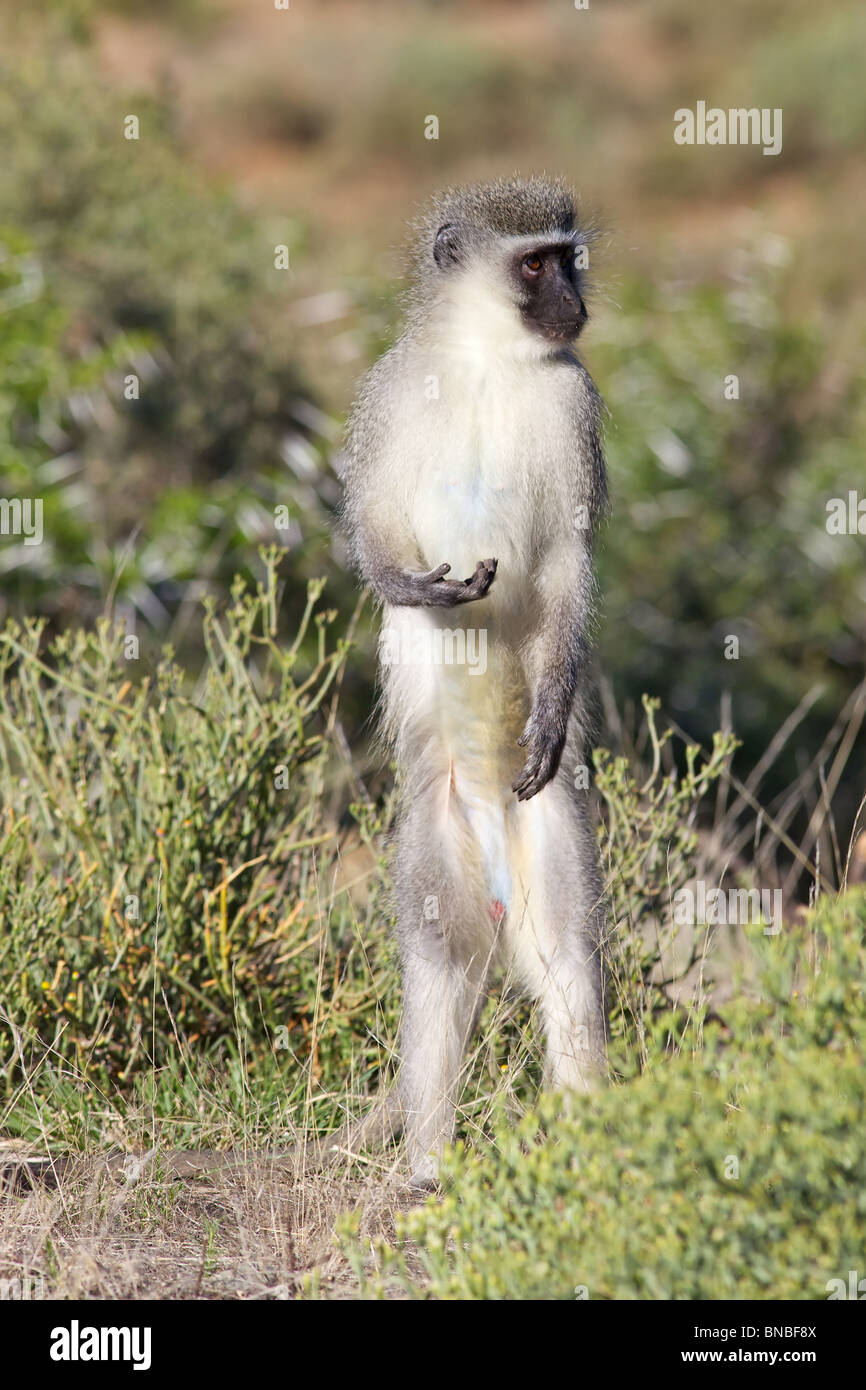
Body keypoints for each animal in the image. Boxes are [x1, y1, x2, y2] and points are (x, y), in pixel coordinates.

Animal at [341, 175, 610, 1188]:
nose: (575, 301)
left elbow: (569, 560)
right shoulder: (385, 393)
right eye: (534, 264)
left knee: (567, 959)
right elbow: (368, 521)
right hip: (434, 835)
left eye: (569, 256)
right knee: (441, 968)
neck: (489, 361)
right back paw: (426, 1167)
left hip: (553, 831)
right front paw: (409, 585)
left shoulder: (574, 401)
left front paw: (552, 710)